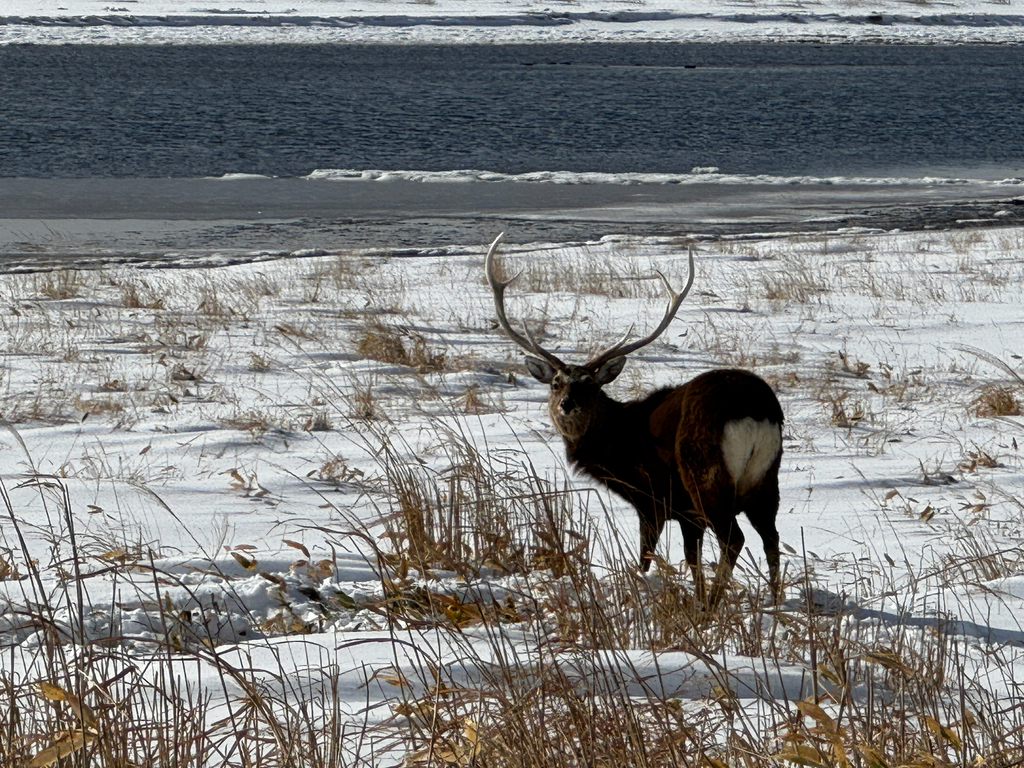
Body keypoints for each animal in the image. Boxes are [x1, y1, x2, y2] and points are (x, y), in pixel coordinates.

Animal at [484, 233, 784, 607]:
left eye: (591, 385)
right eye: (556, 383)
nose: (566, 404)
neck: (619, 446)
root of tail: (755, 408)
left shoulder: (656, 500)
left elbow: (649, 559)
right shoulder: (681, 510)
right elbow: (692, 561)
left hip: (704, 474)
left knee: (735, 539)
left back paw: (713, 606)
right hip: (766, 480)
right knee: (772, 538)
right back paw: (775, 601)